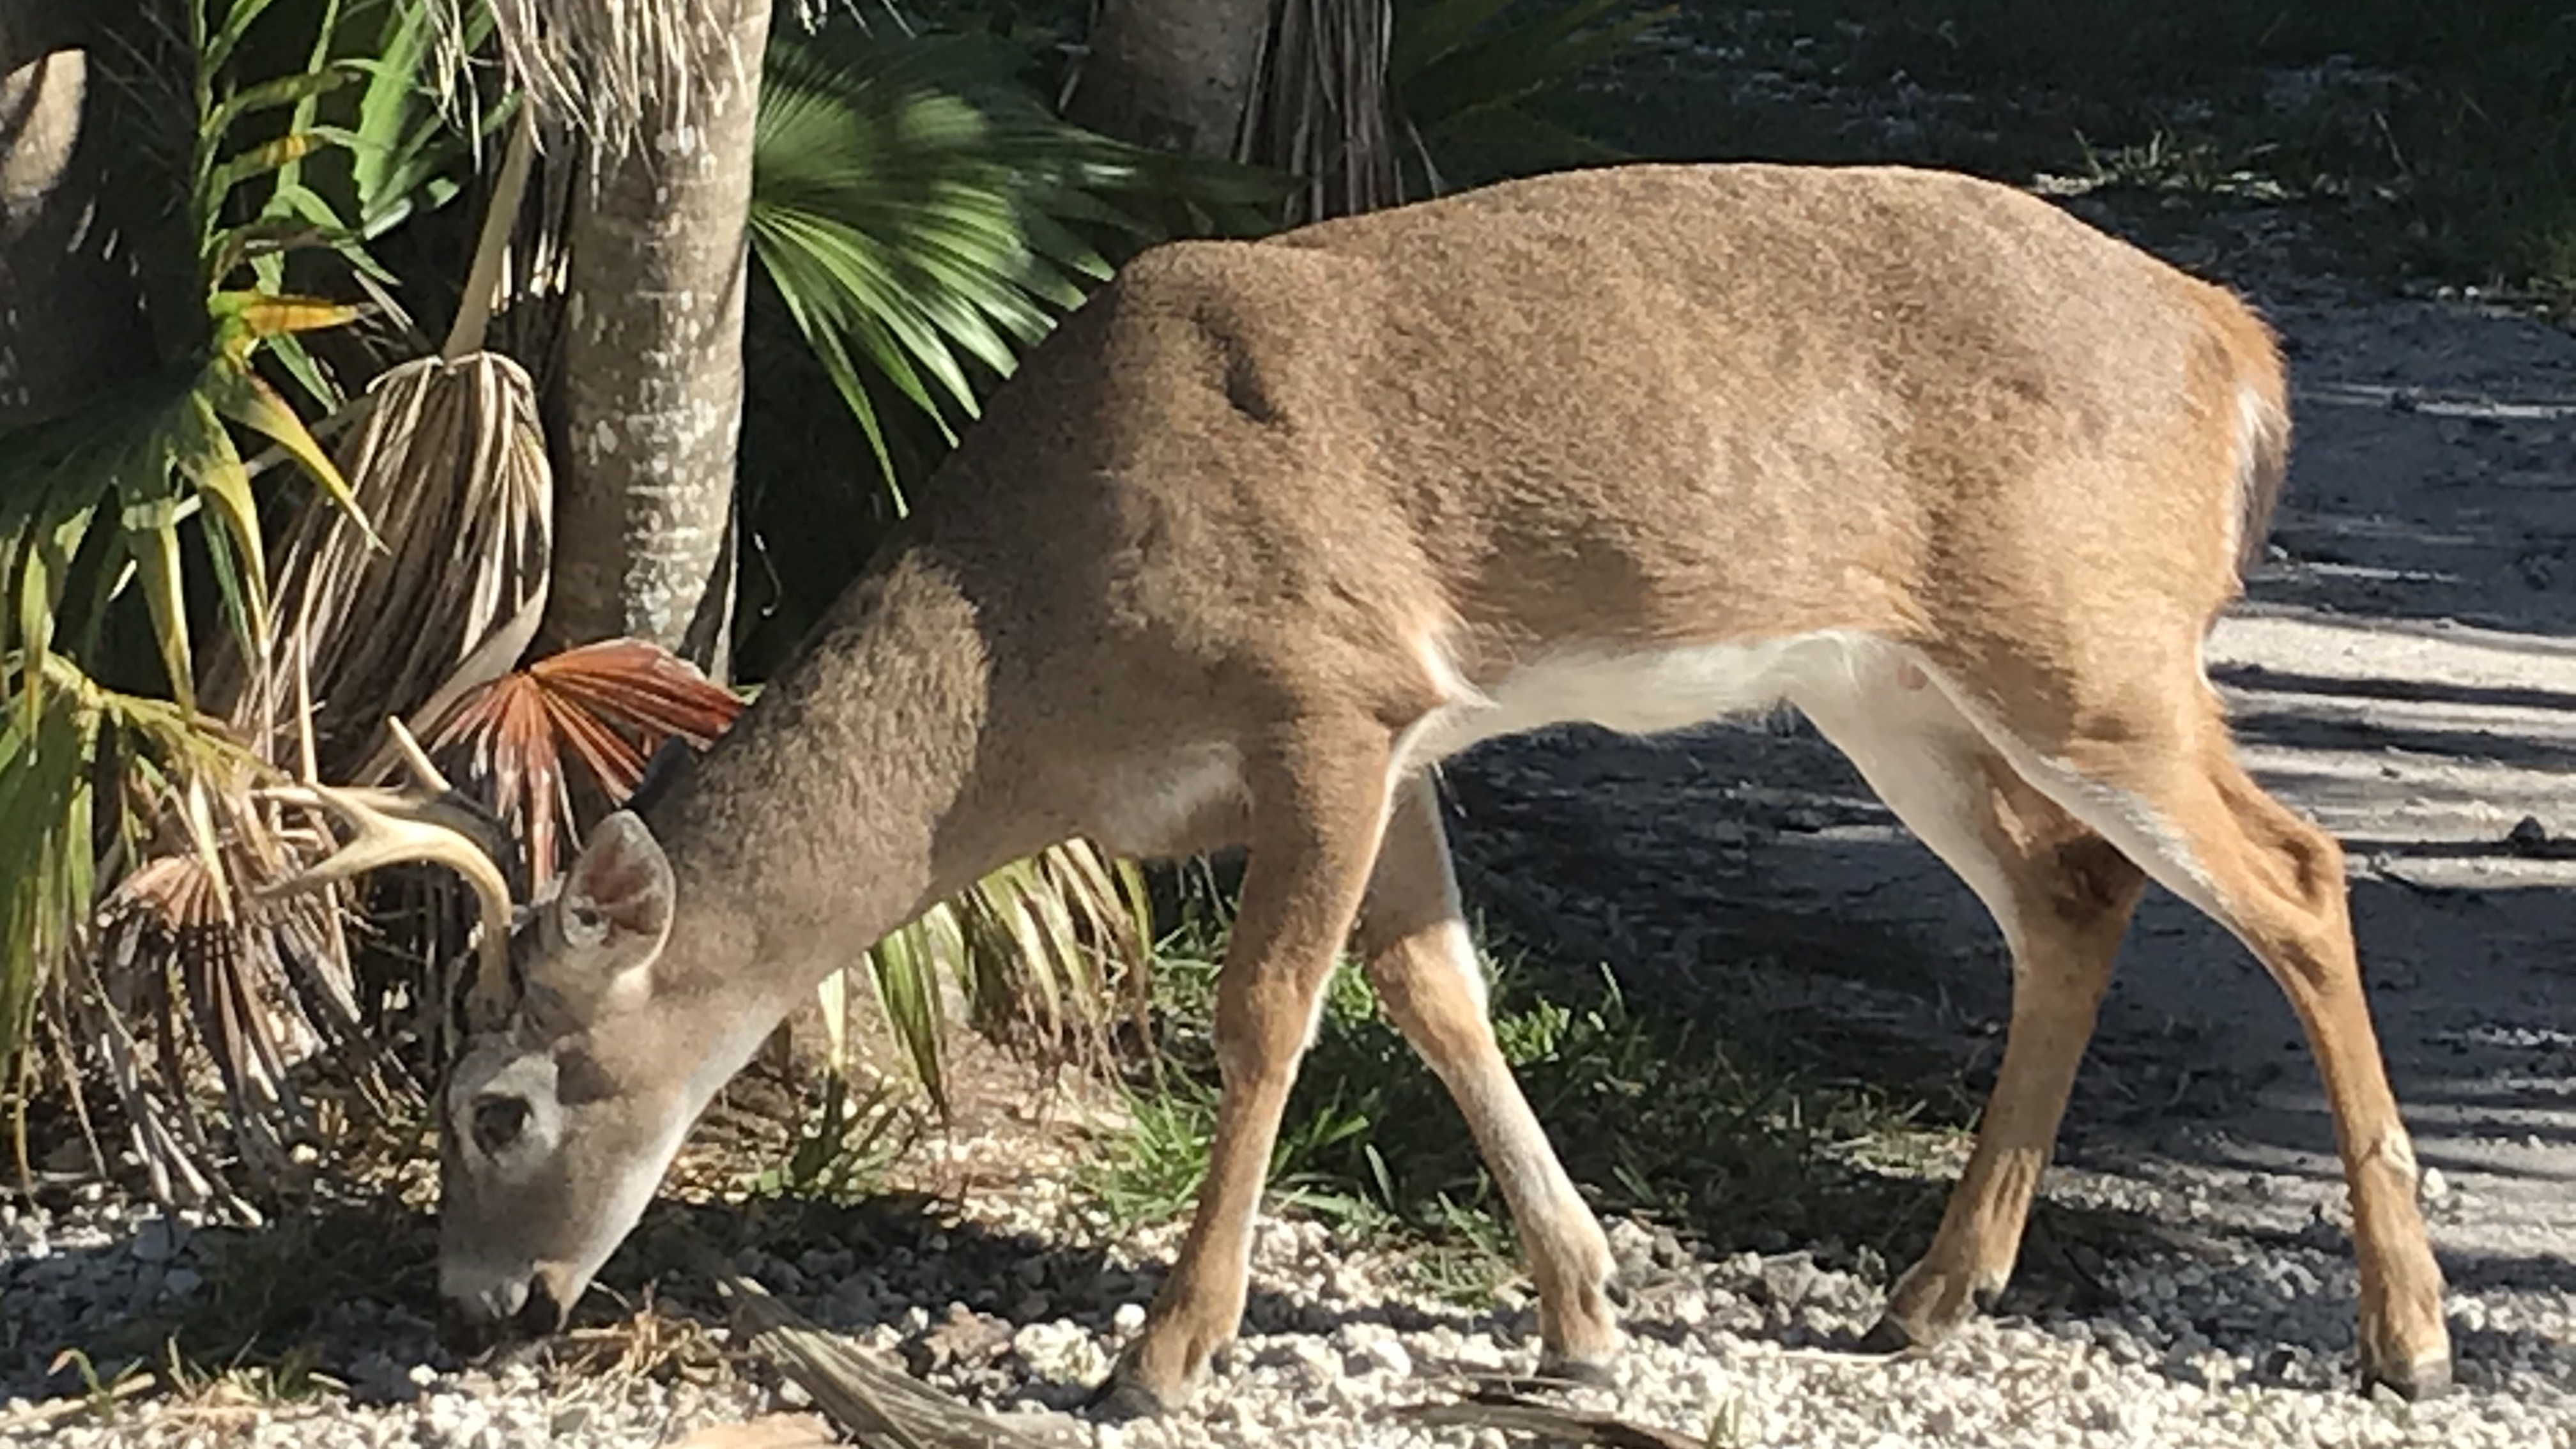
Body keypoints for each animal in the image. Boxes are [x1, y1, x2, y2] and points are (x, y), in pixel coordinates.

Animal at [279, 161, 2453, 1413]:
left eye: (494, 1099)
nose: (478, 1308)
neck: (1035, 652)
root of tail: (2241, 347)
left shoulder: (1321, 692)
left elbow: (1267, 1017)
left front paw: (1166, 1349)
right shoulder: (1401, 736)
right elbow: (1442, 995)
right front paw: (1583, 1311)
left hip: (2087, 636)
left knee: (2300, 871)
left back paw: (2409, 1332)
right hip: (1887, 677)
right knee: (2075, 893)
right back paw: (1929, 1296)